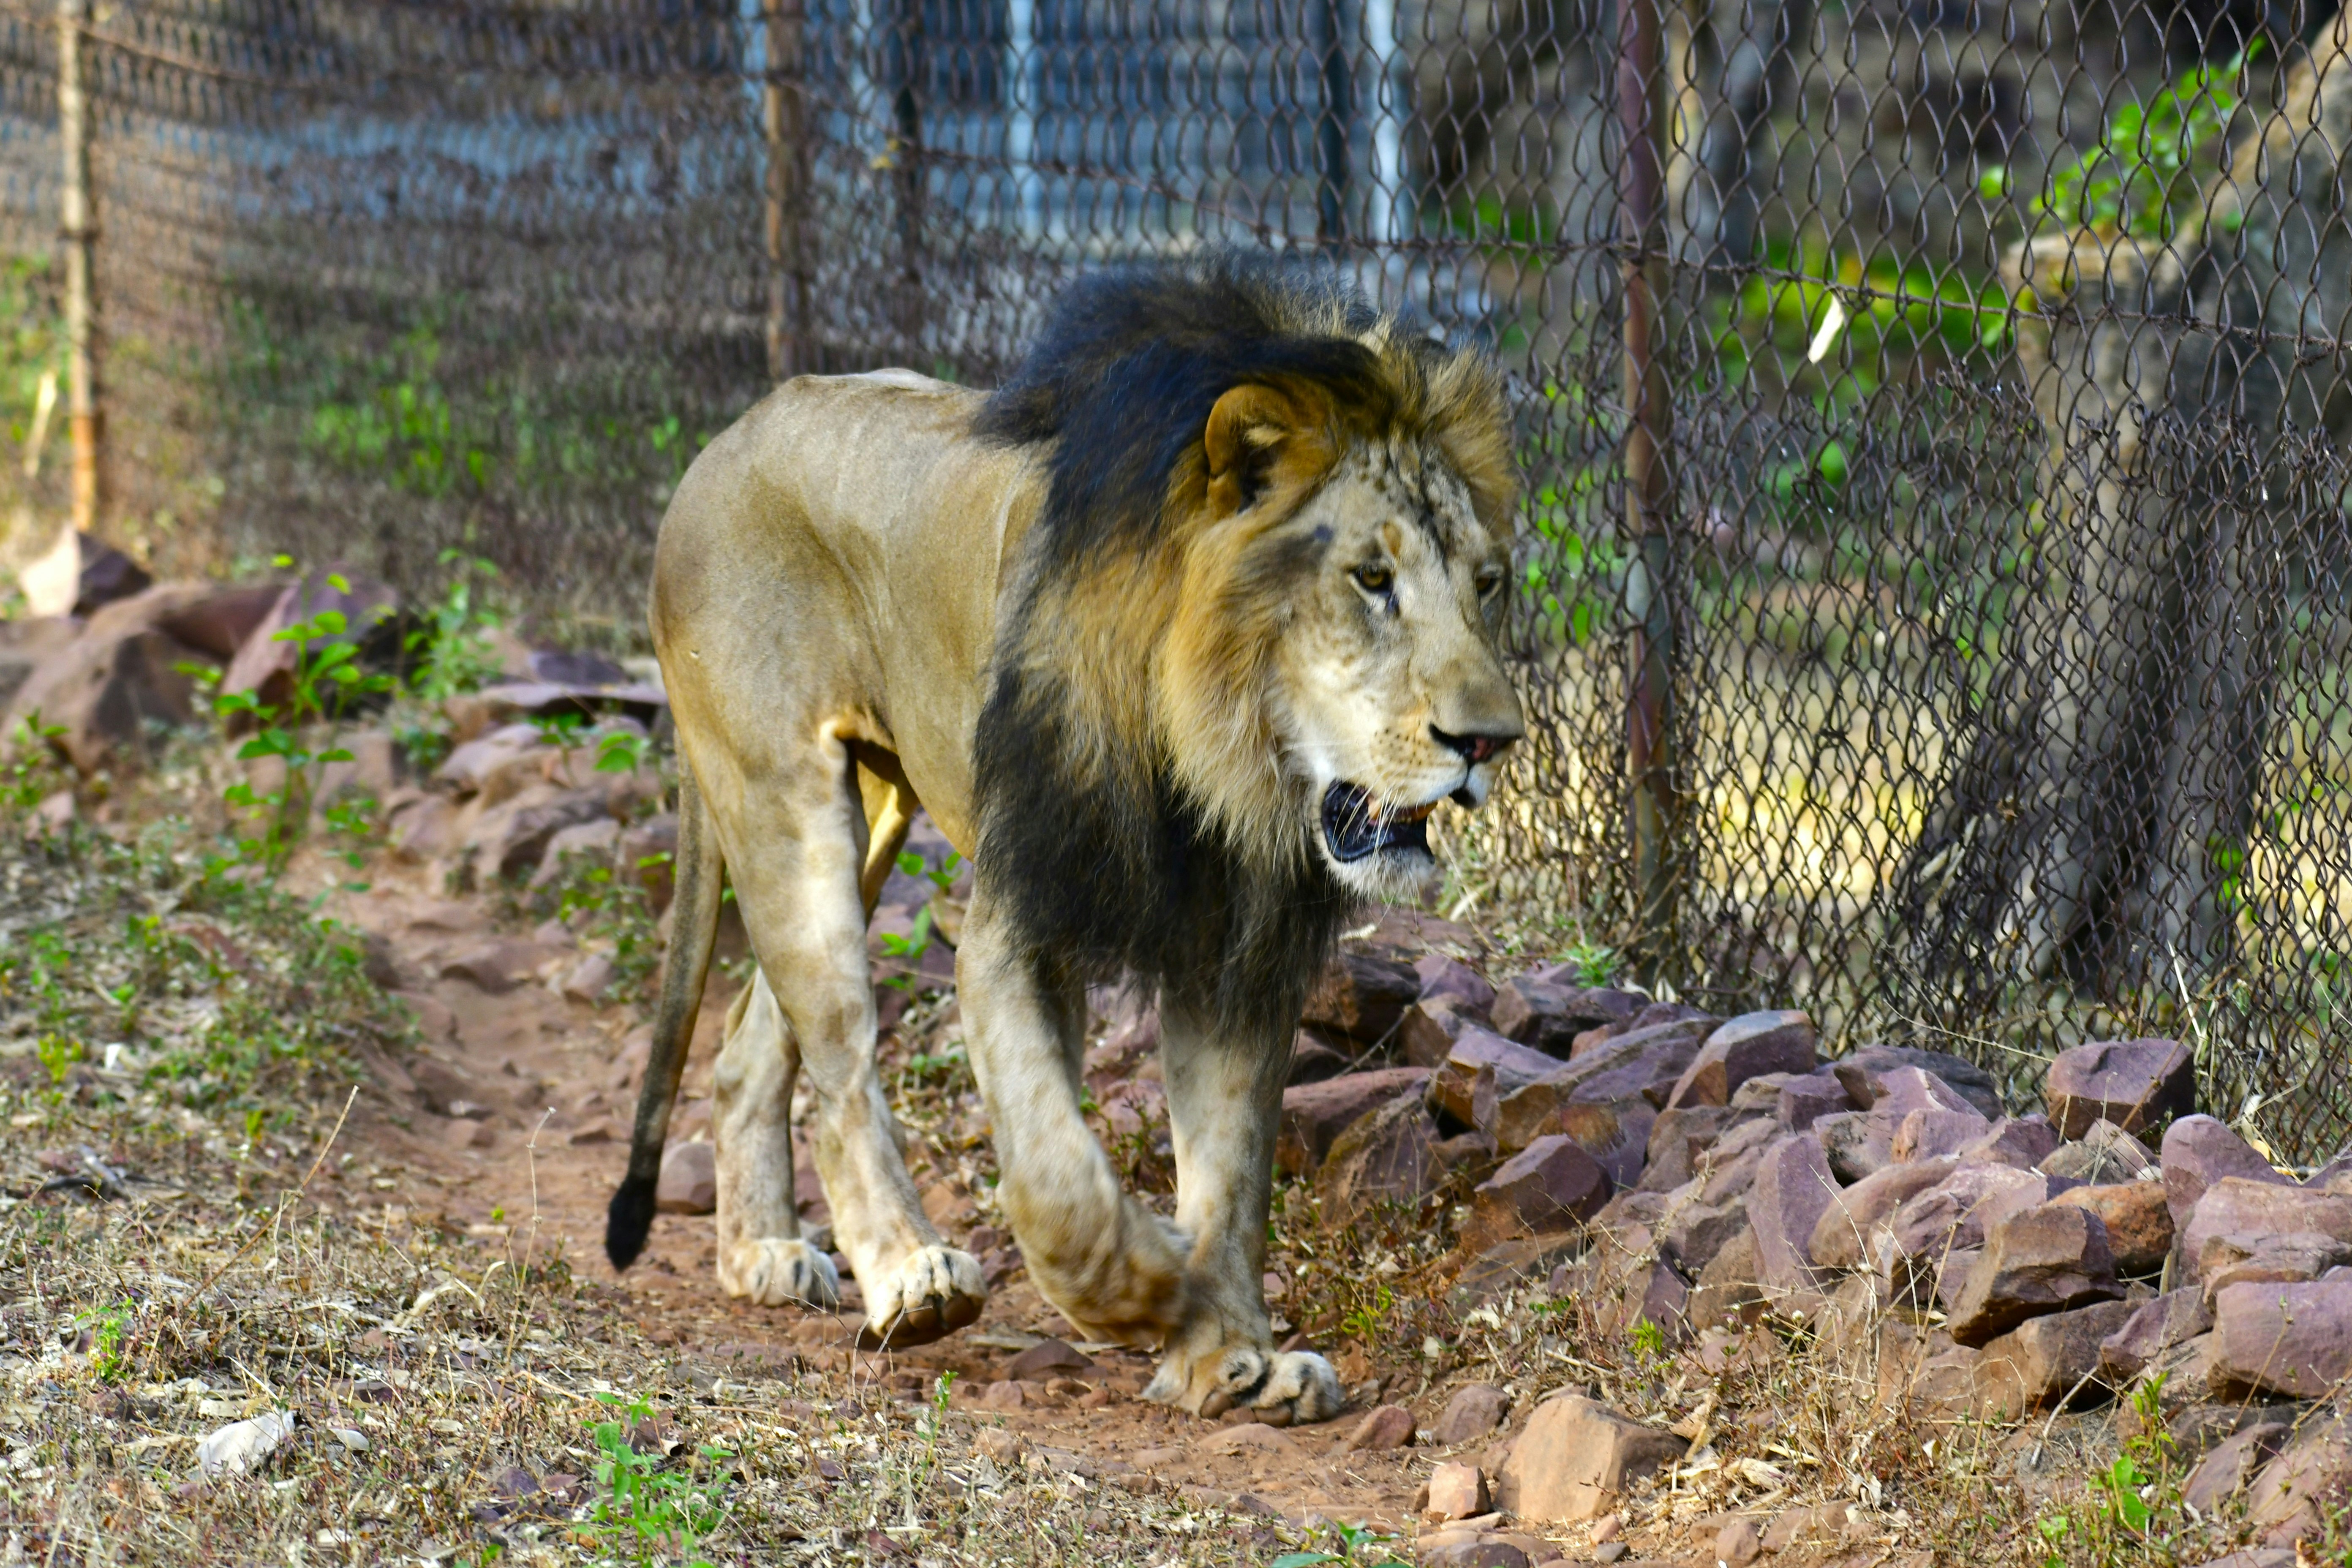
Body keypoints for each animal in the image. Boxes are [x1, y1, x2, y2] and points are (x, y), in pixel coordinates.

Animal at [605, 252, 1524, 1423]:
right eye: (1371, 579)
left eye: (1486, 583)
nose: (1490, 740)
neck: (1221, 764)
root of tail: (724, 441)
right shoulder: (1020, 920)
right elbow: (1057, 1177)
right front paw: (1150, 1288)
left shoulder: (1238, 952)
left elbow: (1232, 1166)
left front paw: (1232, 1351)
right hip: (786, 802)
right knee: (844, 1052)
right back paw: (908, 1274)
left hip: (878, 811)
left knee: (748, 1041)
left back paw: (760, 1252)